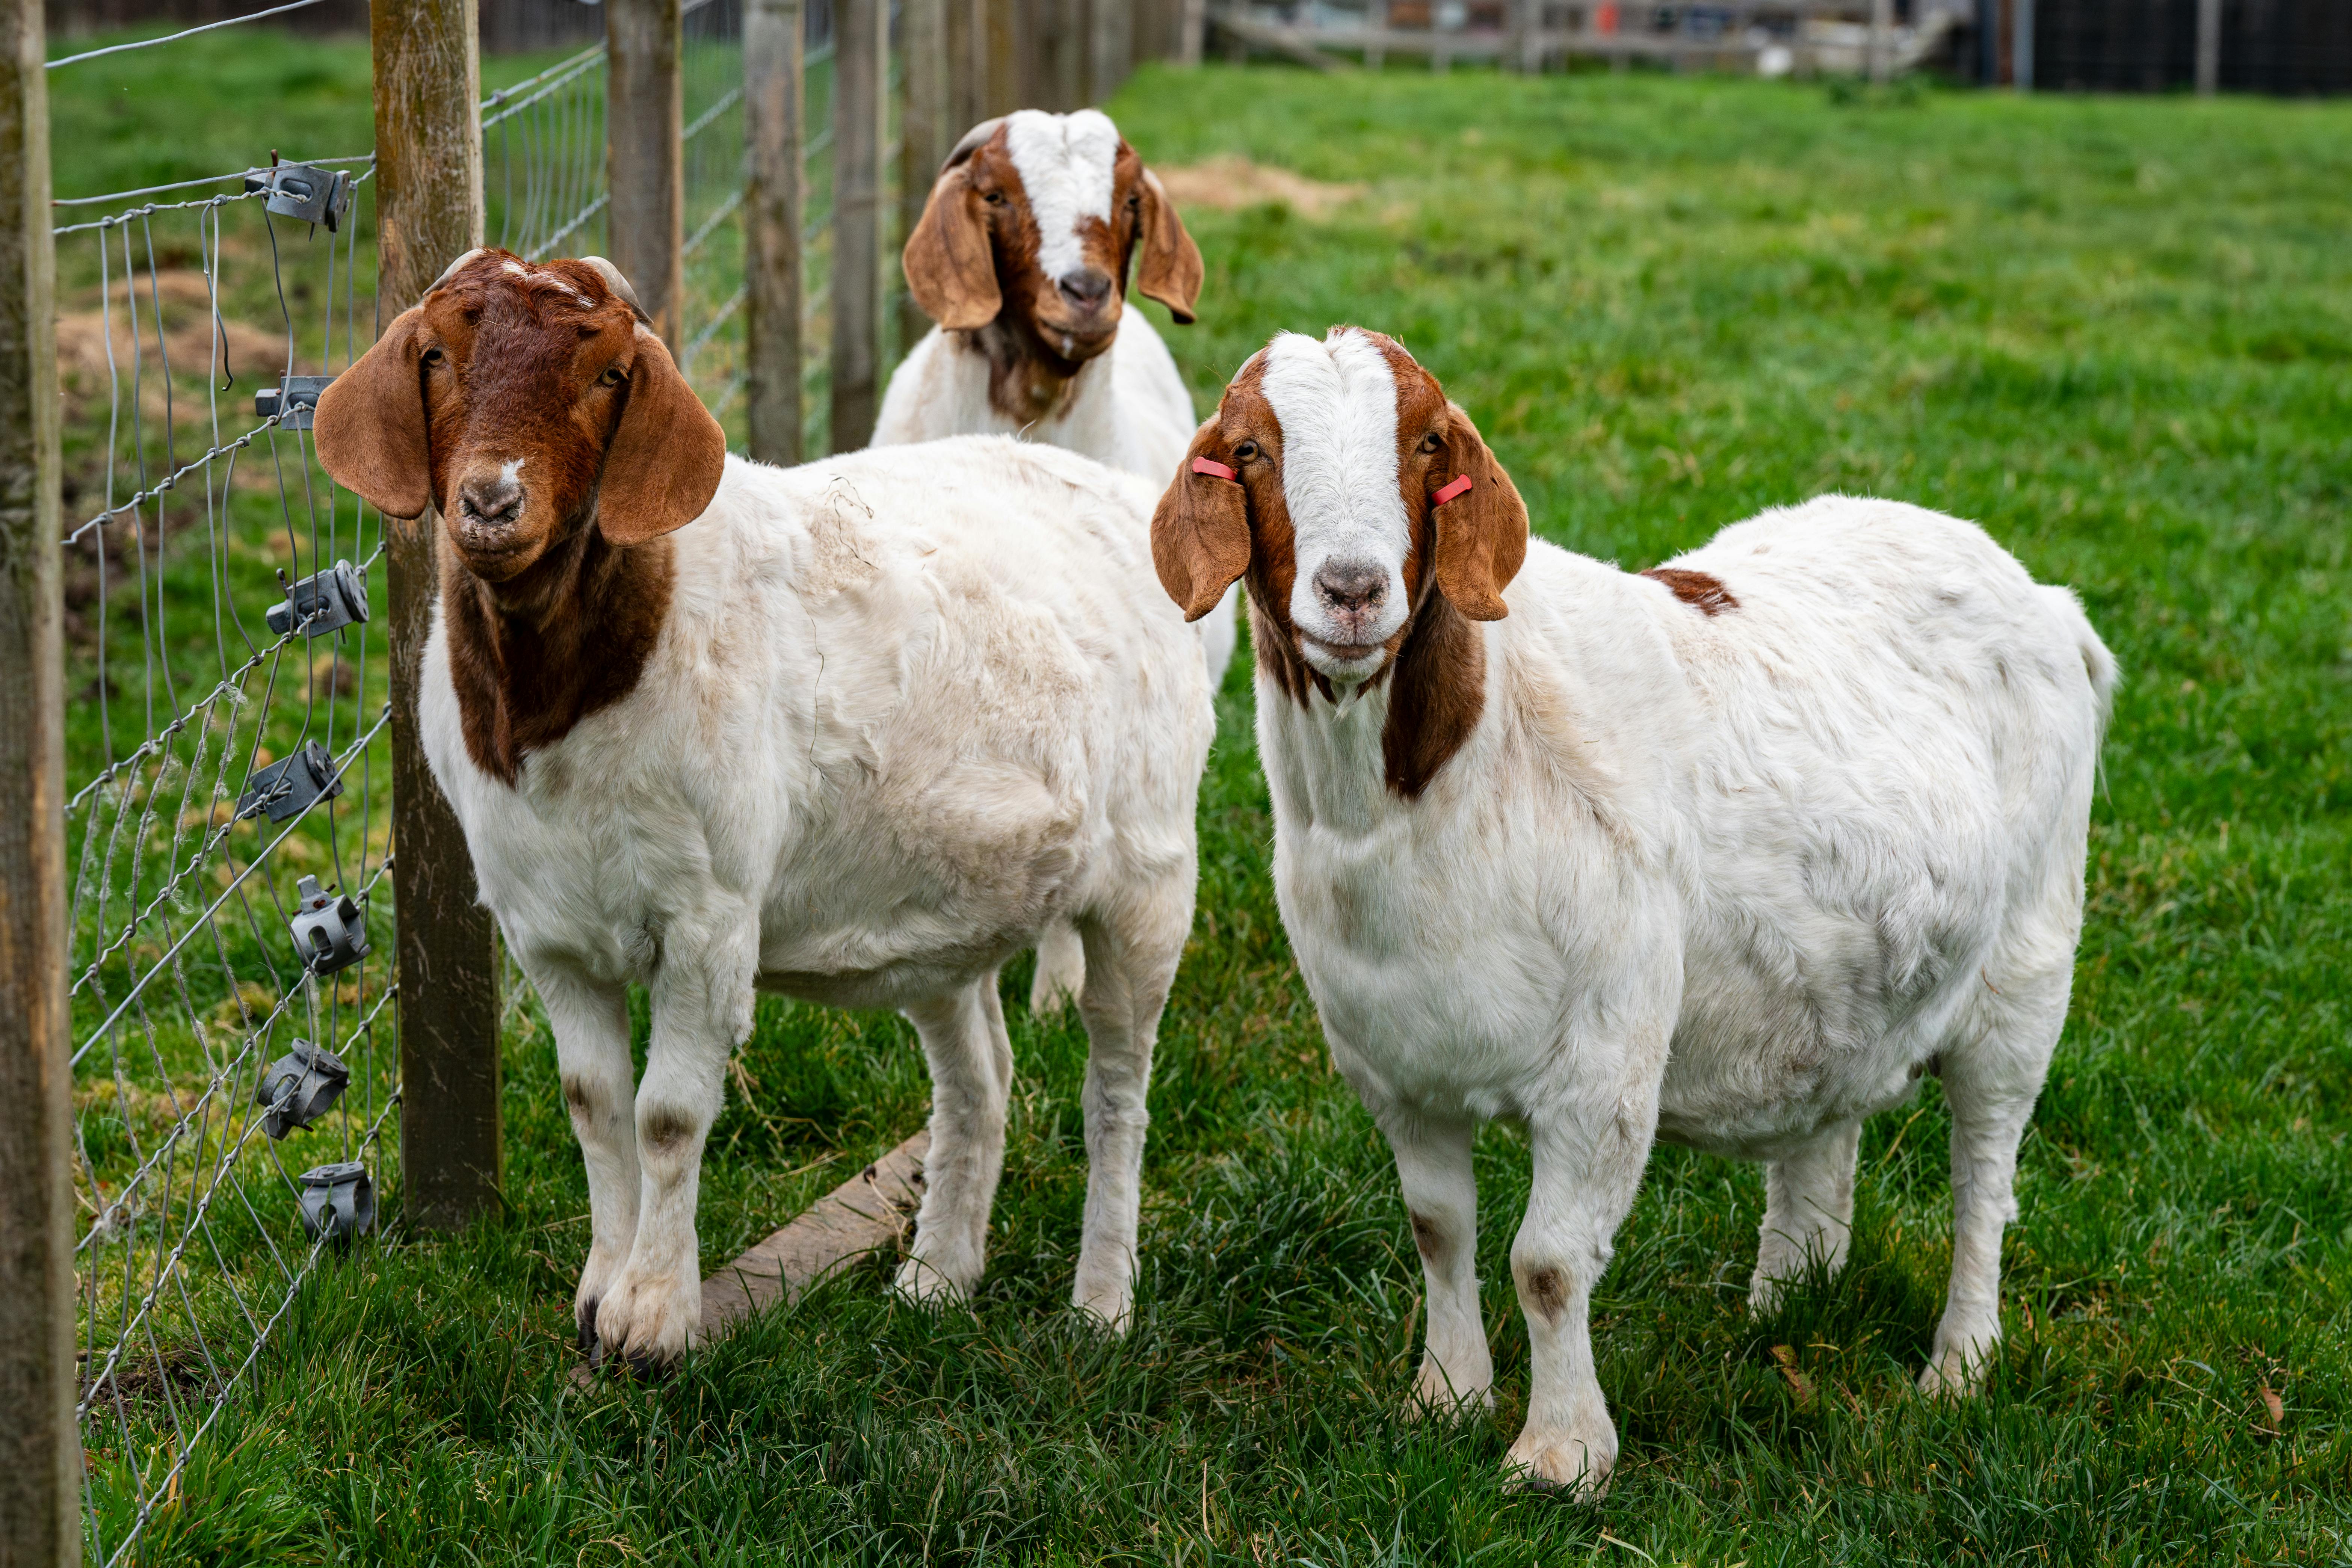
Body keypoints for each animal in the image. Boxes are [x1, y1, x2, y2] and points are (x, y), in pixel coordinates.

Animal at [313, 250, 1214, 1368]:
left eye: (610, 376)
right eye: (434, 354)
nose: (491, 500)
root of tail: (1121, 496)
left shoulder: (707, 918)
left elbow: (665, 1114)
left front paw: (652, 1319)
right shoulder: (547, 930)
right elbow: (593, 1107)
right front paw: (596, 1295)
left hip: (1148, 876)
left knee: (1117, 1093)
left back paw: (1100, 1306)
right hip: (944, 902)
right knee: (979, 1077)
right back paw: (937, 1277)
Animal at [1151, 326, 2115, 1492]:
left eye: (1426, 443)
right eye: (1249, 448)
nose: (1350, 589)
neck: (1465, 754)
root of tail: (2044, 600)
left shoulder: (1602, 1057)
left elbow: (1547, 1262)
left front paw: (1559, 1454)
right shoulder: (1392, 1056)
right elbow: (1438, 1228)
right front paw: (1445, 1398)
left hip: (2028, 959)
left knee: (1985, 1174)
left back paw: (1959, 1363)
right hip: (1841, 969)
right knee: (1827, 1123)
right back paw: (1788, 1300)